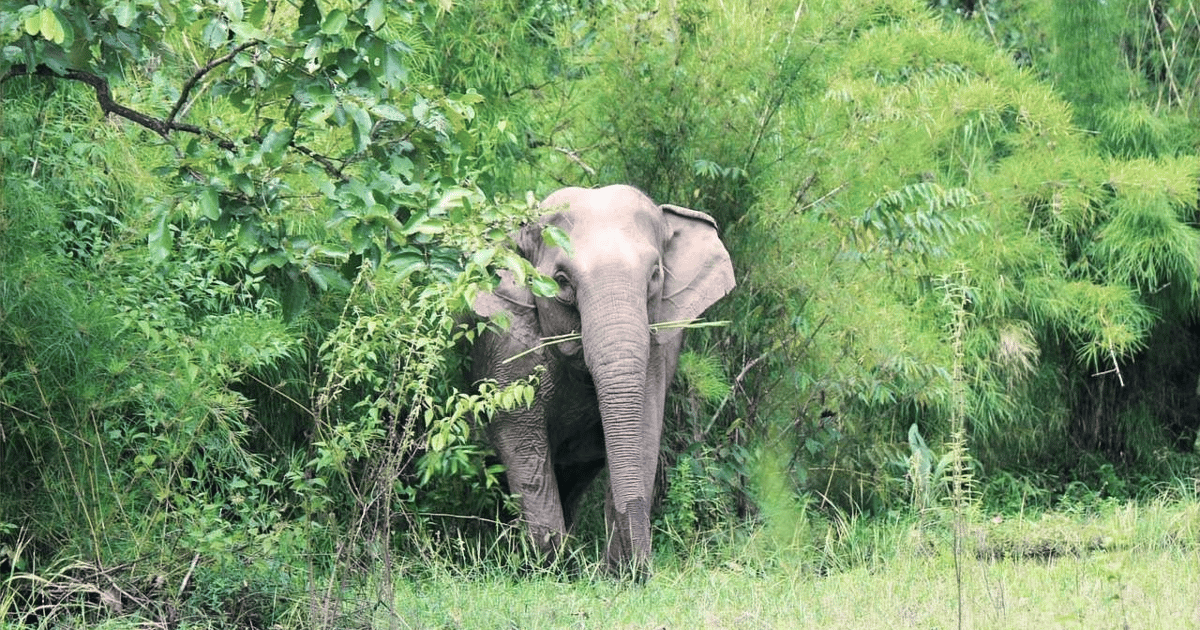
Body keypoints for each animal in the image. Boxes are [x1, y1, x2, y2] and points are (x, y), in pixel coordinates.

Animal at [470, 184, 735, 577]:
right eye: (561, 281)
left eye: (654, 276)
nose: (641, 574)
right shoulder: (504, 338)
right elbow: (519, 437)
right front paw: (550, 572)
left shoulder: (659, 346)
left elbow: (644, 428)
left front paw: (611, 573)